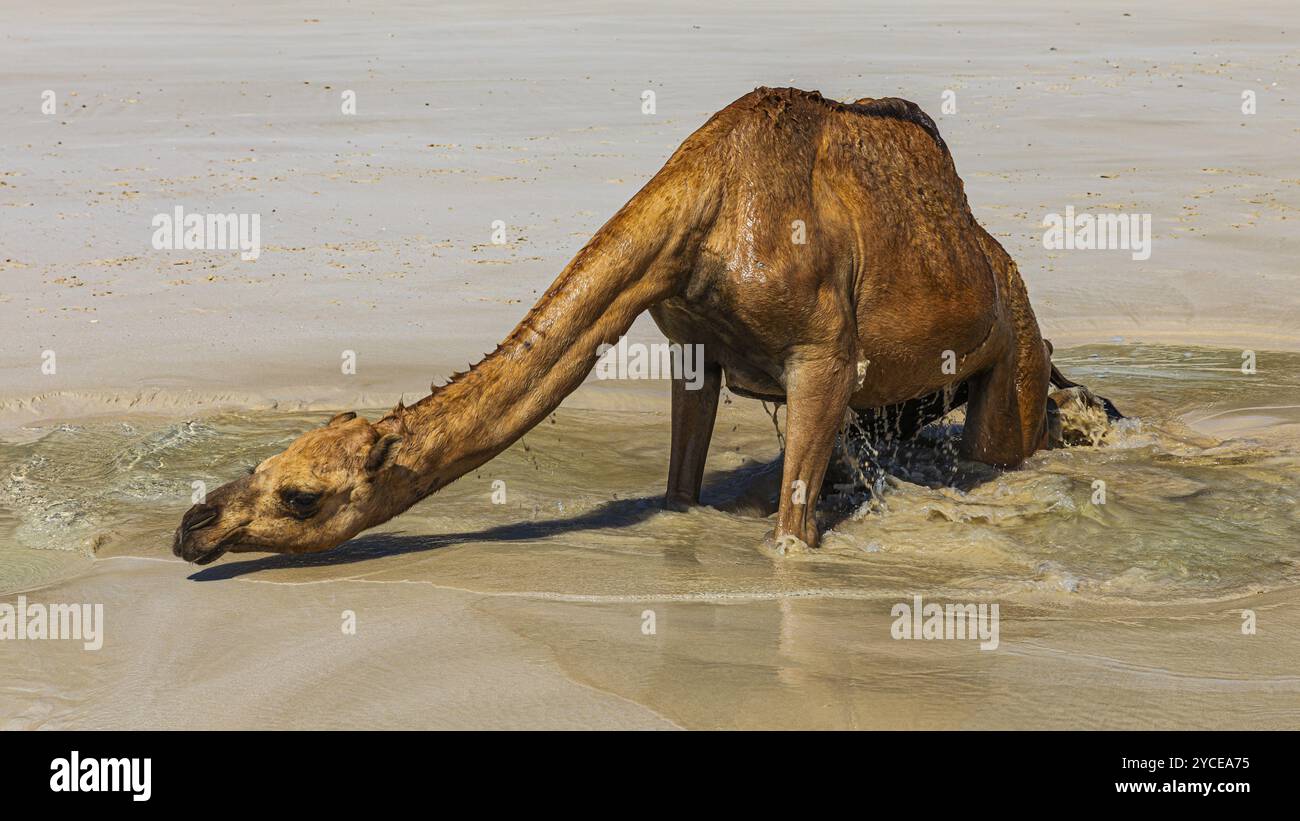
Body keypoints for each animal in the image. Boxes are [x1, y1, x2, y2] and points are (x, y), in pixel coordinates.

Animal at [174, 87, 1118, 565]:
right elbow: (680, 486)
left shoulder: (824, 354)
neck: (709, 204)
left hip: (1010, 351)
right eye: (263, 463)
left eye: (299, 495)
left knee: (1005, 438)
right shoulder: (692, 344)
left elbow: (790, 535)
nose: (195, 526)